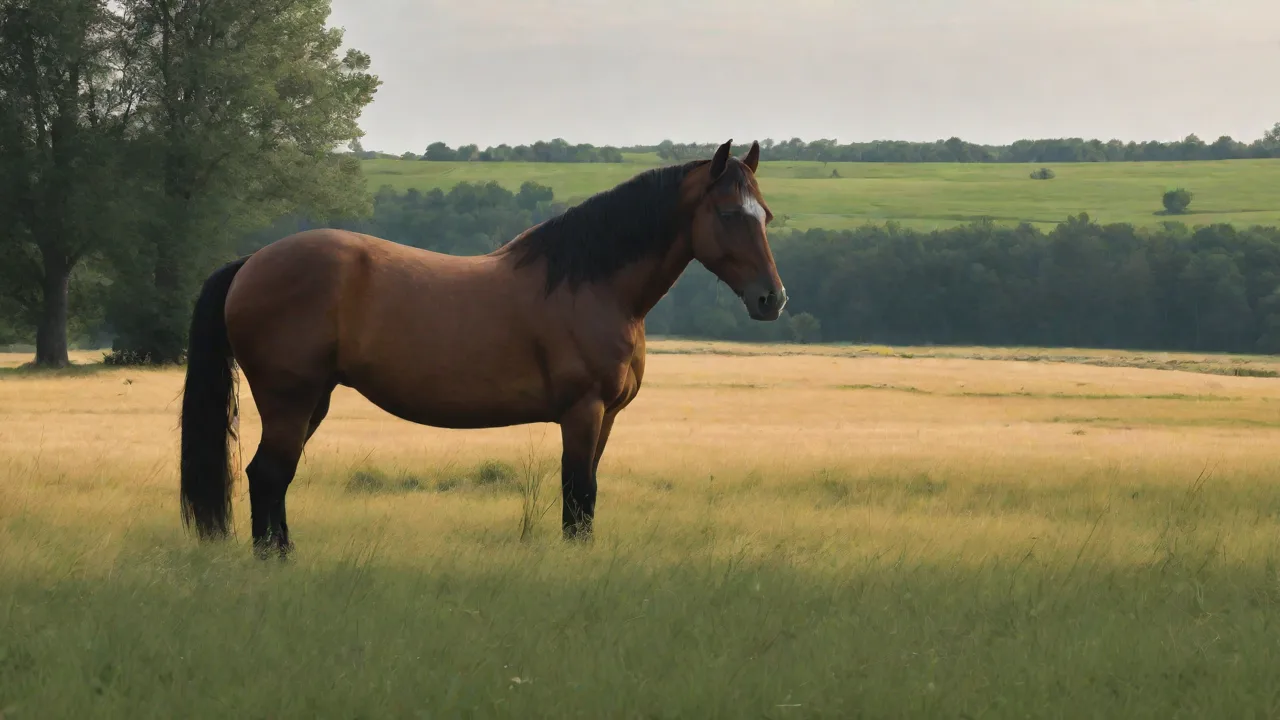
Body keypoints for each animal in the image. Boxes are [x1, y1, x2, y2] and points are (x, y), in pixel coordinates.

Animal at [179, 139, 787, 558]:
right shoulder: (582, 412)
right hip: (291, 400)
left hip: (313, 401)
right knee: (268, 475)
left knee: (269, 478)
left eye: (766, 215)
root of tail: (251, 263)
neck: (591, 285)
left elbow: (587, 494)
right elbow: (578, 495)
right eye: (729, 214)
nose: (772, 299)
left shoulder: (607, 418)